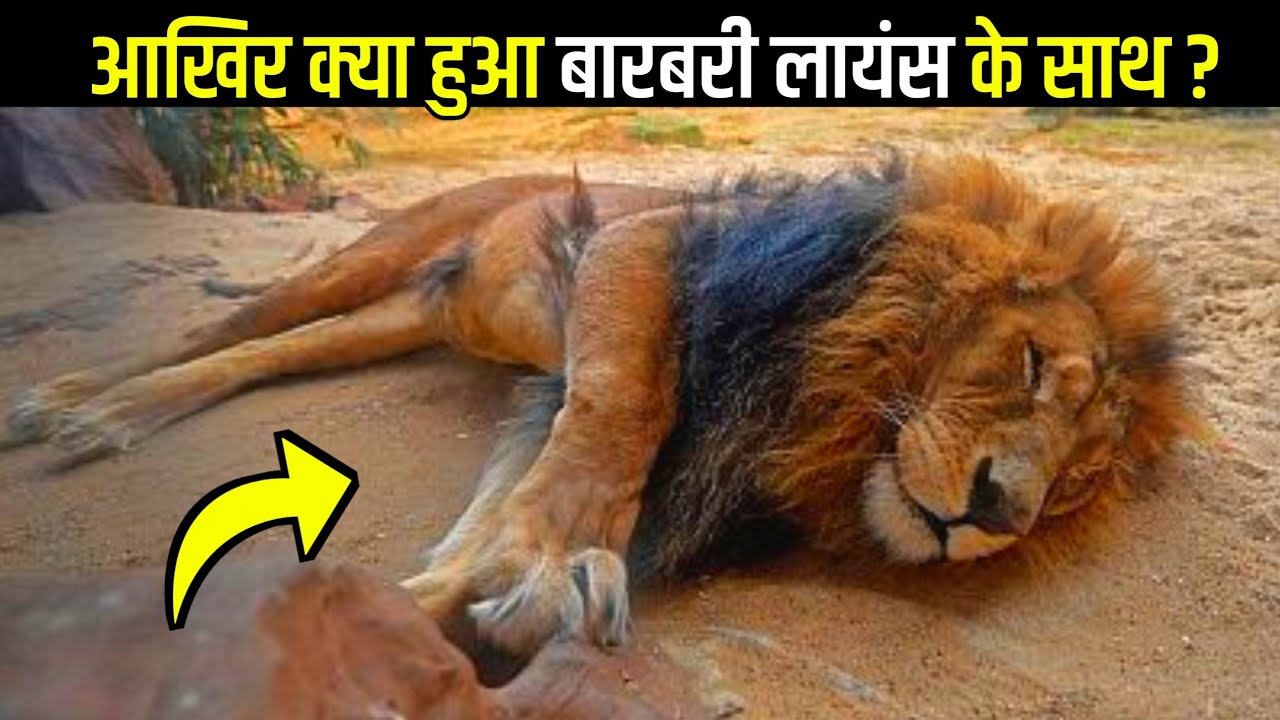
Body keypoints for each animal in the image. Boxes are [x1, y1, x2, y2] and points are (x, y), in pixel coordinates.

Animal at [2, 151, 1198, 661]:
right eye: (1032, 364)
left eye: (1073, 483)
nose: (1001, 509)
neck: (838, 403)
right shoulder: (639, 242)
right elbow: (625, 408)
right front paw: (551, 563)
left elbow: (484, 529)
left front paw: (458, 597)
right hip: (373, 255)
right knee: (219, 330)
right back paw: (71, 402)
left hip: (404, 314)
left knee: (264, 357)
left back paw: (117, 414)